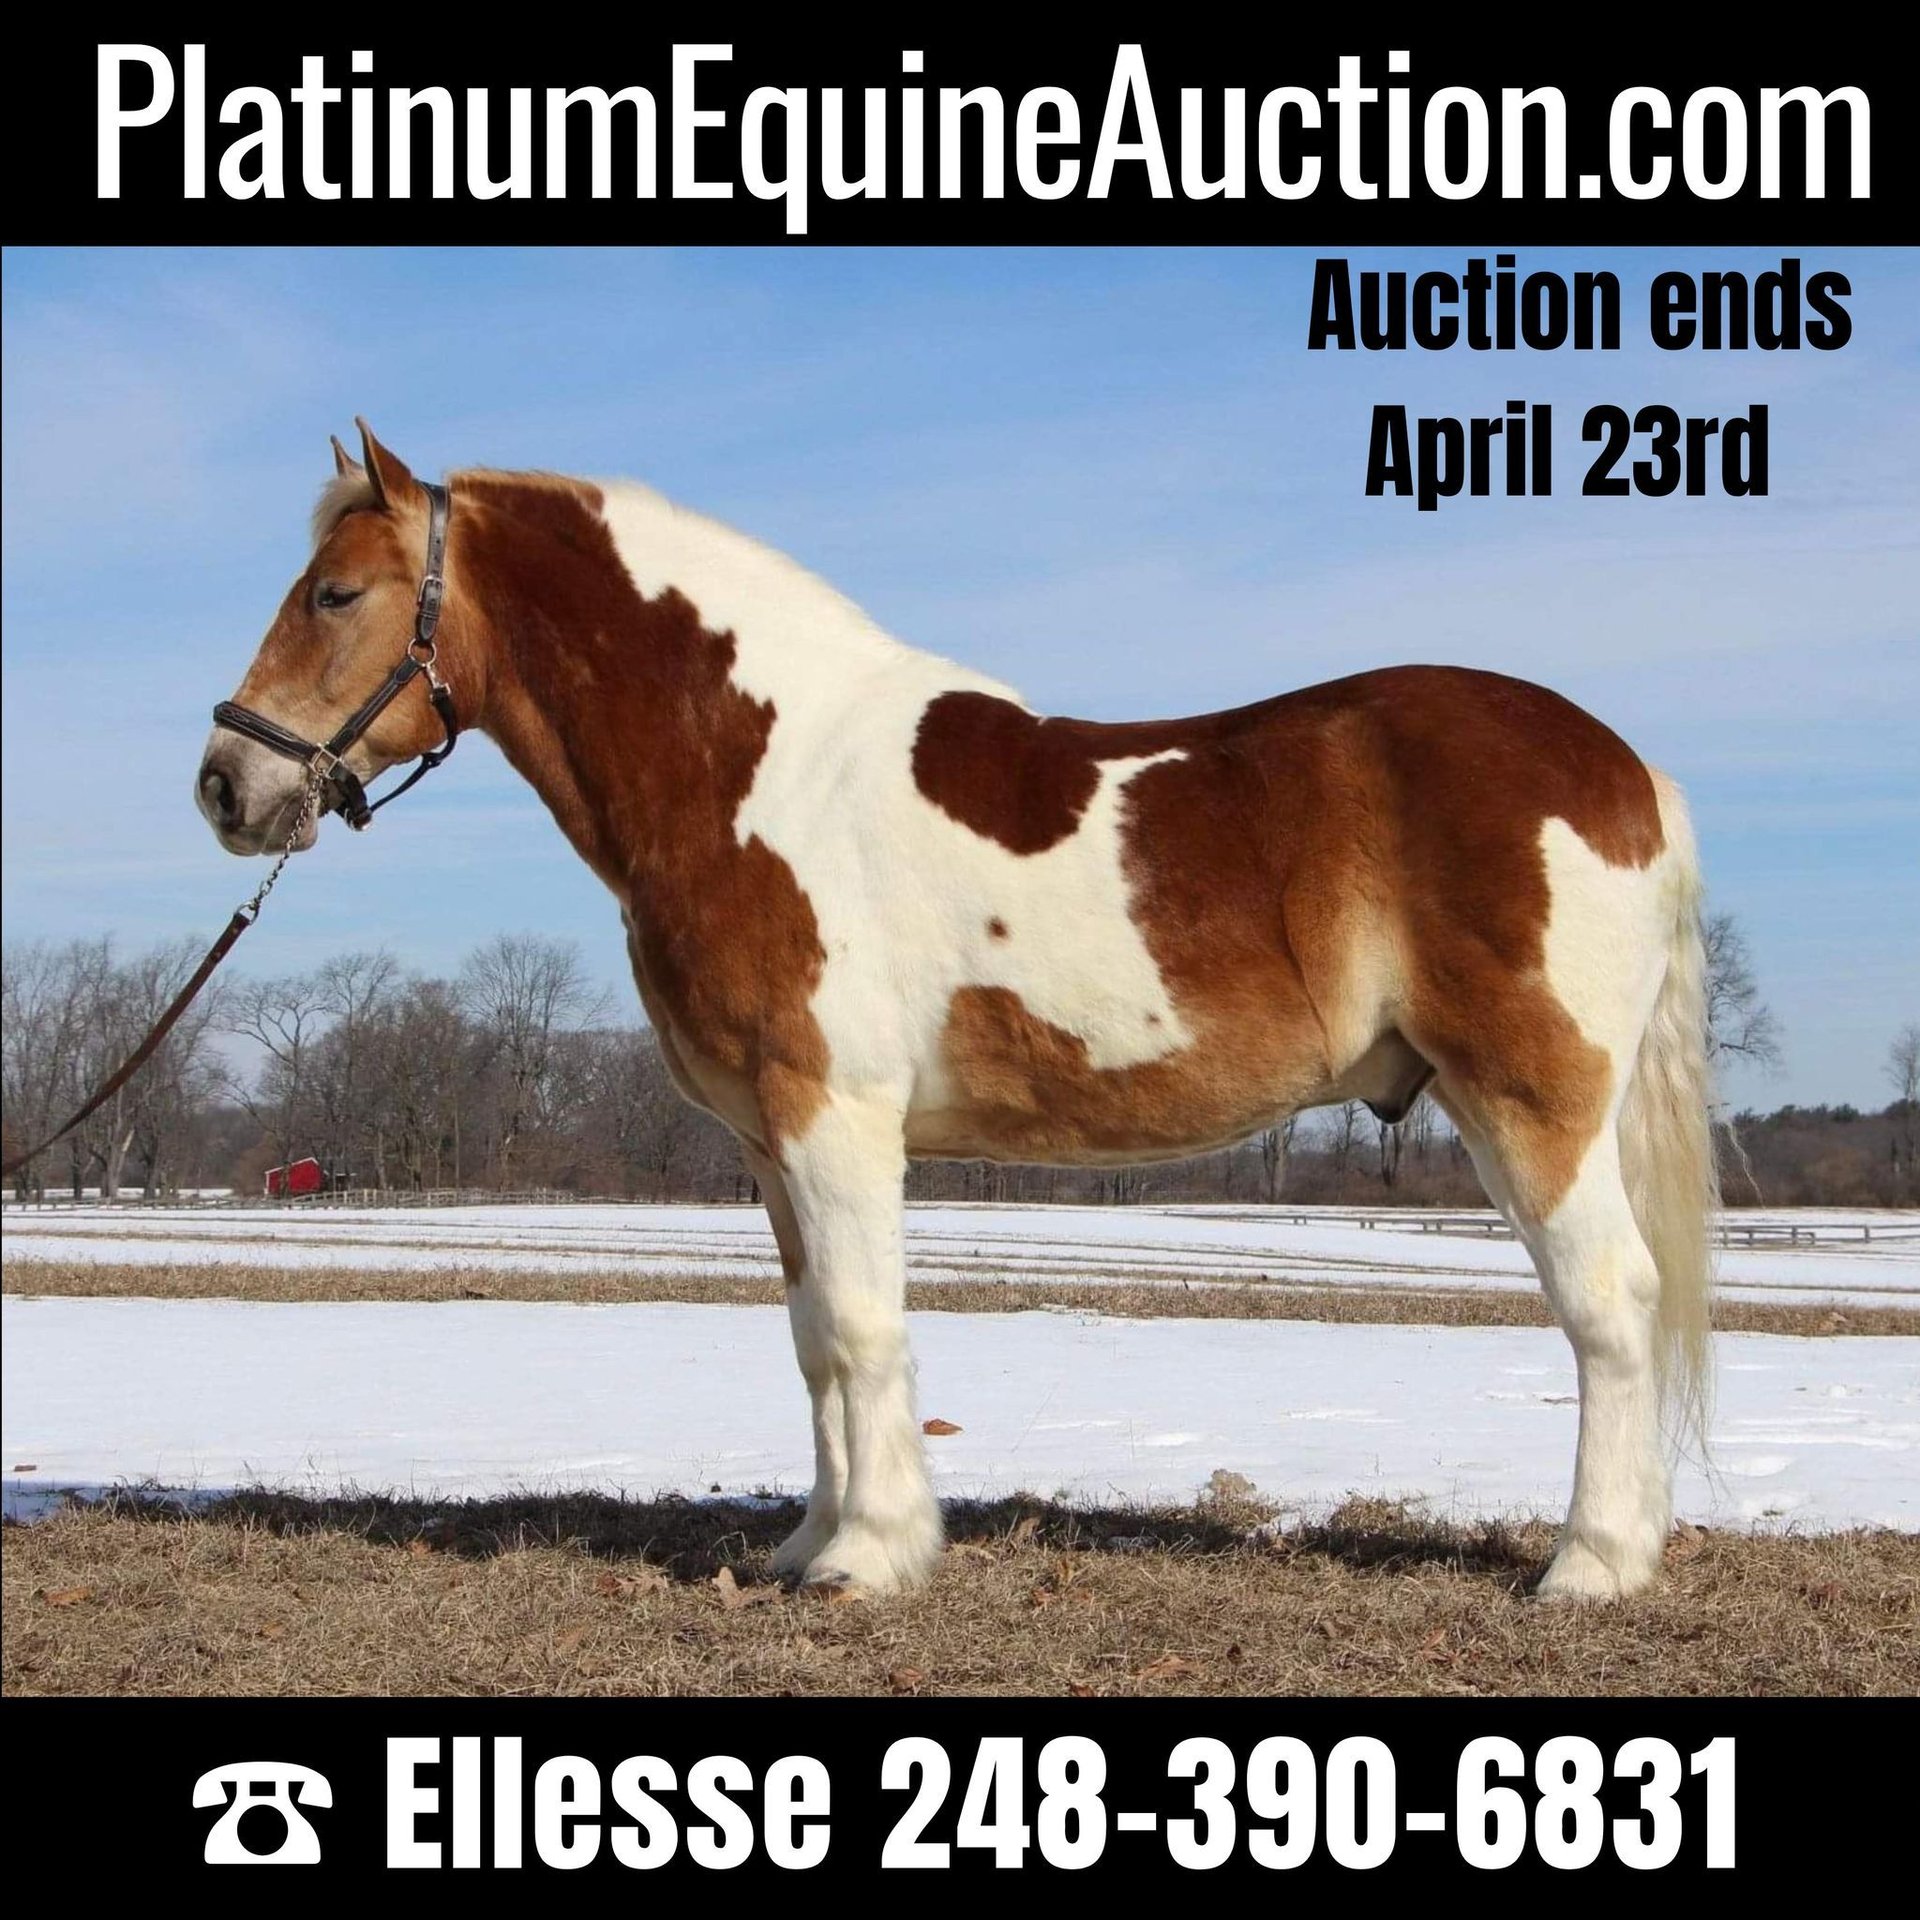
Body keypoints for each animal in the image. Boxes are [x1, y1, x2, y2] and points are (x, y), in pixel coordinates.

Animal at [197, 421, 1717, 1601]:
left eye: (334, 594)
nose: (226, 784)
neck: (756, 770)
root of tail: (1622, 768)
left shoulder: (836, 1118)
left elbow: (867, 1329)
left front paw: (871, 1558)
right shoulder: (769, 1142)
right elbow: (814, 1337)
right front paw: (808, 1544)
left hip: (1531, 1102)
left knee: (1612, 1304)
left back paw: (1589, 1566)